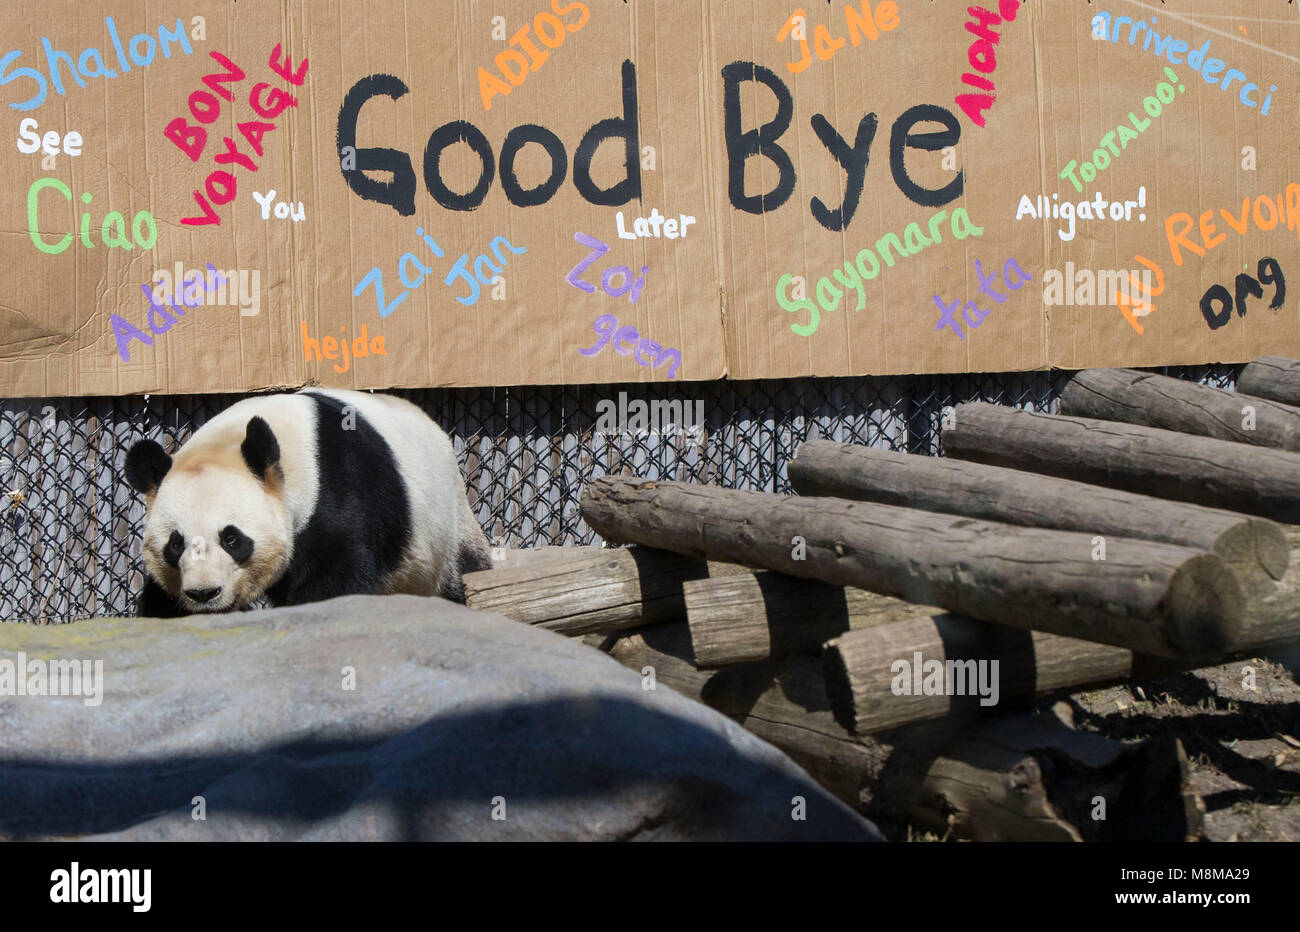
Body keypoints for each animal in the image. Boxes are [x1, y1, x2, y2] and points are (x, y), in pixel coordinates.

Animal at [124, 388, 492, 617]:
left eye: (232, 538)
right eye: (175, 543)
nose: (204, 594)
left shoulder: (336, 493)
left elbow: (334, 582)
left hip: (446, 534)